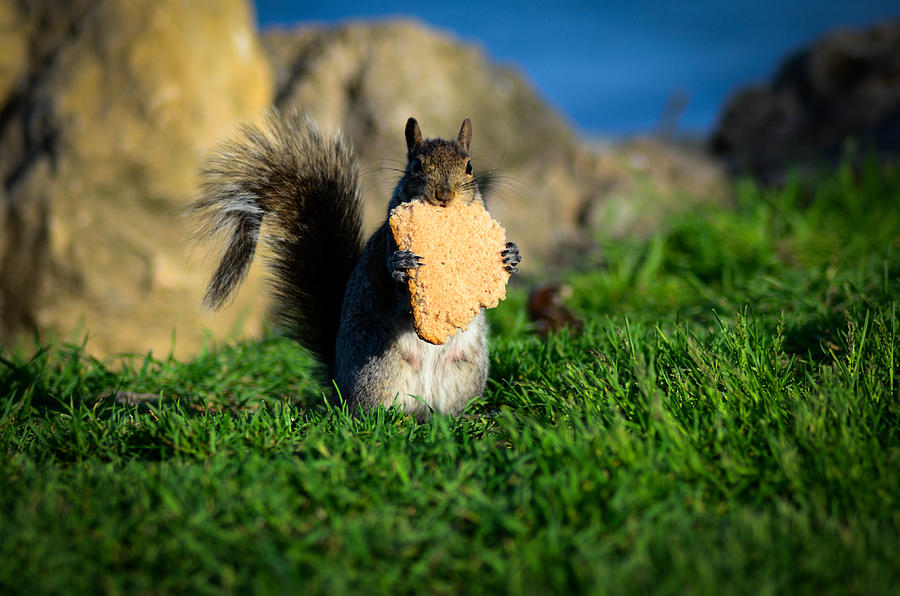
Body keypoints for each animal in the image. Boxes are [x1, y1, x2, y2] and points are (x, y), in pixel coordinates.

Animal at [192, 111, 521, 419]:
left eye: (469, 167)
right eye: (416, 166)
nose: (444, 195)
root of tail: (340, 383)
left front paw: (510, 256)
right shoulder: (385, 244)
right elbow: (389, 277)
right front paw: (401, 266)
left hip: (465, 370)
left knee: (448, 412)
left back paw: (470, 414)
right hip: (379, 369)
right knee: (367, 412)